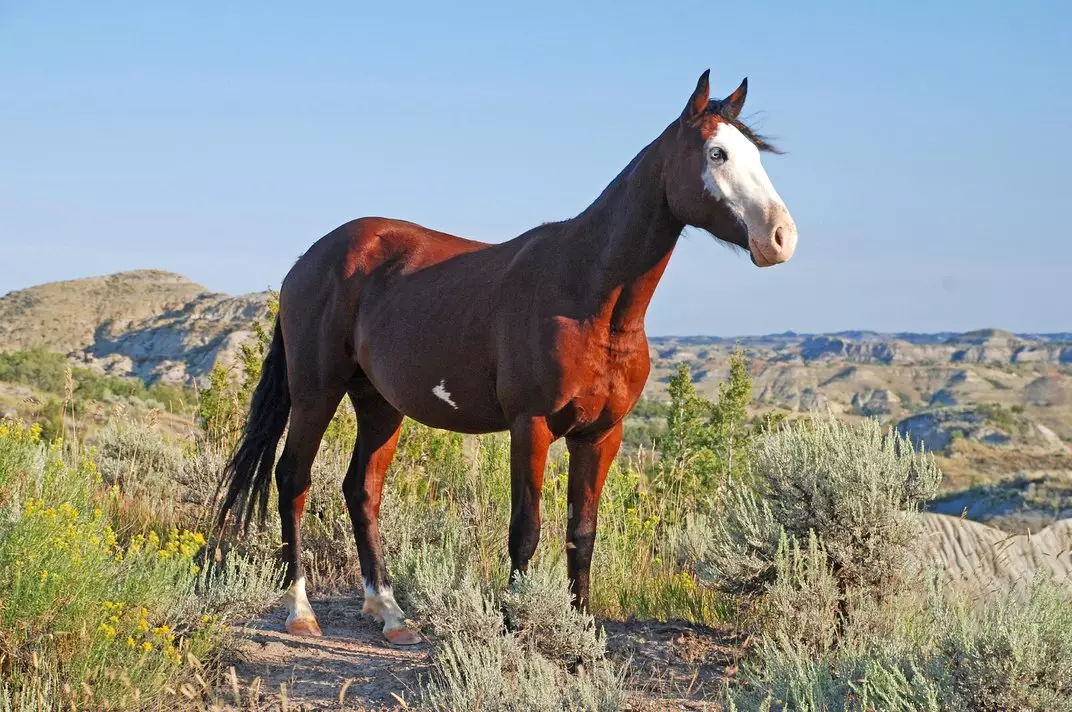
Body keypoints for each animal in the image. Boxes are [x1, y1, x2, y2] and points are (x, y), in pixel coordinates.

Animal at [217, 70, 797, 643]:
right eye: (717, 153)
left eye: (757, 154)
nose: (781, 237)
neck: (589, 298)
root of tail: (309, 259)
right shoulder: (530, 425)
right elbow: (526, 530)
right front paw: (513, 624)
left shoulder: (601, 435)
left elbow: (582, 532)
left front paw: (581, 628)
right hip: (316, 392)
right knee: (293, 480)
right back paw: (301, 611)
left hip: (380, 403)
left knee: (362, 492)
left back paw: (390, 613)